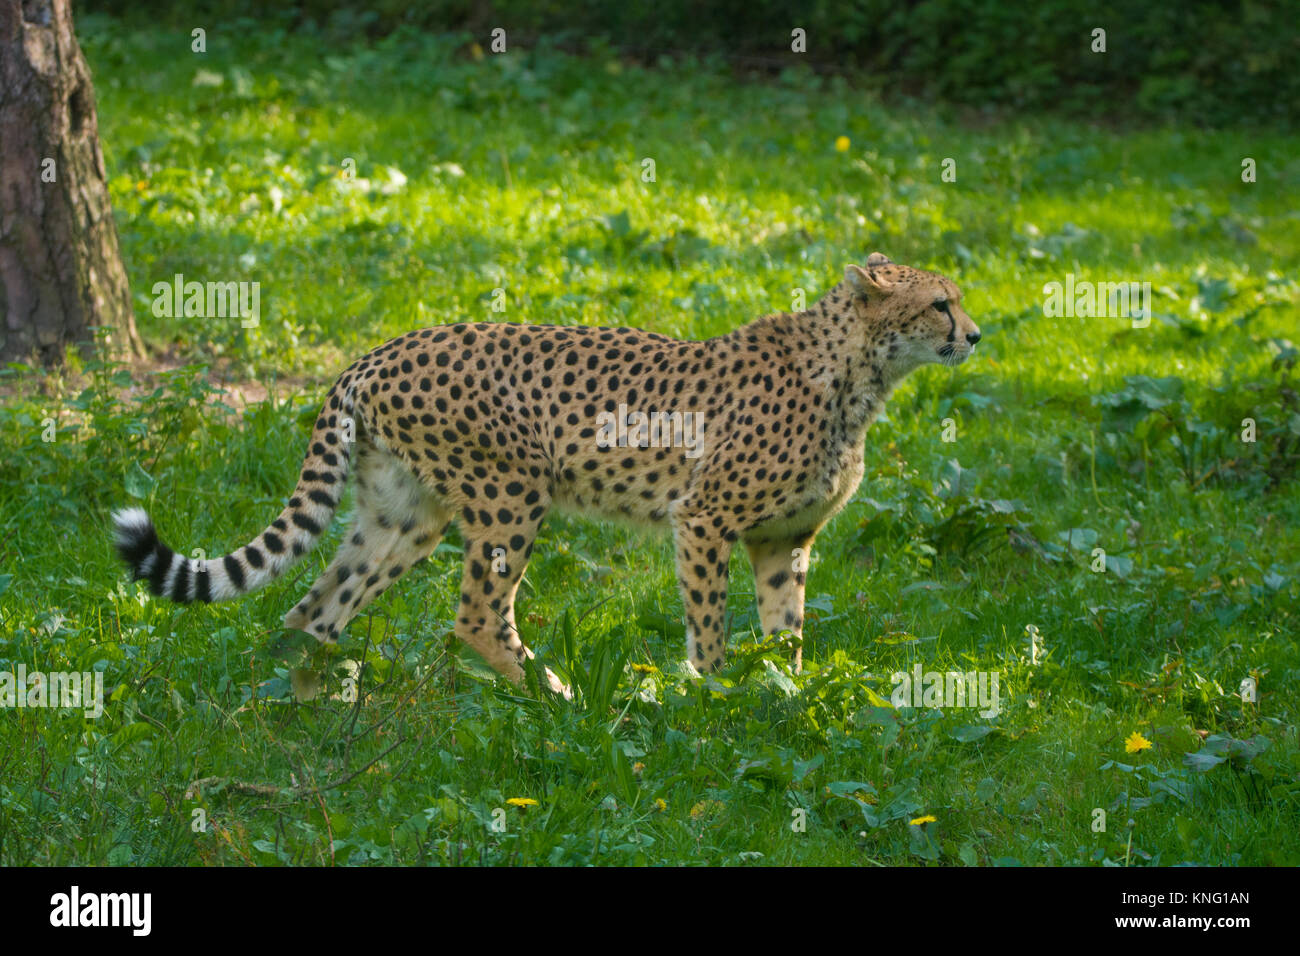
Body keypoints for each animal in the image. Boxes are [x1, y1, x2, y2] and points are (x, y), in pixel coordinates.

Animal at [112, 252, 980, 696]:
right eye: (940, 304)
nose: (976, 334)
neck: (860, 372)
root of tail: (380, 348)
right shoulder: (703, 519)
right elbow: (710, 625)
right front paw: (709, 699)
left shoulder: (784, 540)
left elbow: (786, 633)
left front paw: (786, 703)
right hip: (510, 493)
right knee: (474, 616)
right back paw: (556, 698)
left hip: (406, 515)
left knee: (315, 608)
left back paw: (309, 702)